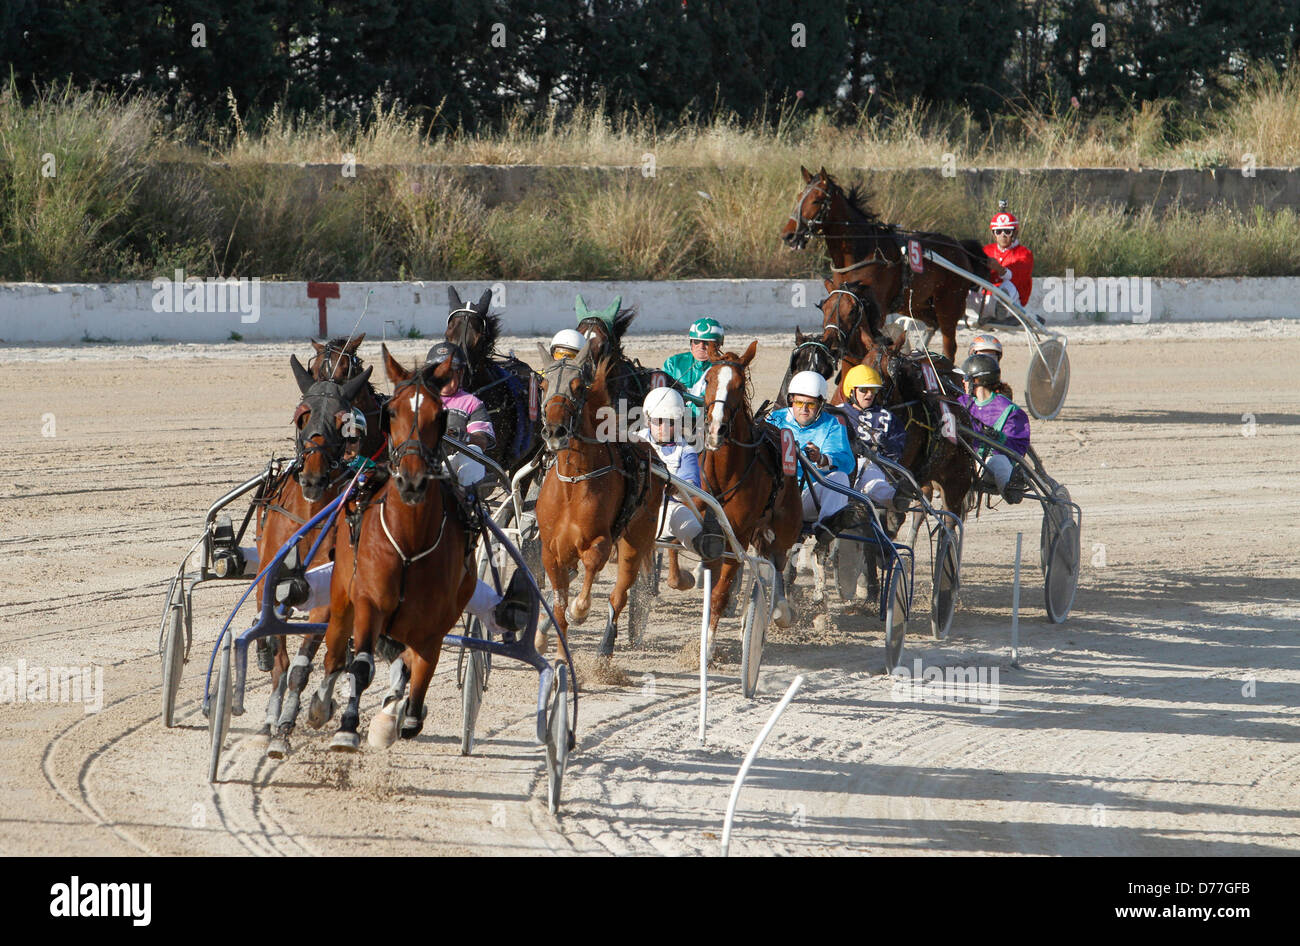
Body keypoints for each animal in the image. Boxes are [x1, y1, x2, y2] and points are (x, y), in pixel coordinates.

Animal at [256, 356, 373, 758]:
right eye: (302, 417)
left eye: (343, 423)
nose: (313, 478)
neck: (308, 517)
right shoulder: (270, 584)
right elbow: (279, 657)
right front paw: (270, 722)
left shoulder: (327, 592)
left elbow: (302, 665)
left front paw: (286, 726)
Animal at [307, 345, 477, 750]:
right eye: (393, 412)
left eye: (439, 415)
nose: (412, 480)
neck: (409, 542)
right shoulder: (369, 600)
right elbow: (361, 665)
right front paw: (348, 727)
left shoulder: (435, 622)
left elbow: (421, 666)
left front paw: (404, 715)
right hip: (342, 597)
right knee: (335, 653)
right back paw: (321, 702)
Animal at [534, 342, 664, 659]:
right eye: (543, 385)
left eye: (579, 387)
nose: (554, 431)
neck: (572, 484)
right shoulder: (551, 550)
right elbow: (557, 602)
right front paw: (557, 651)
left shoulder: (601, 540)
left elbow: (592, 564)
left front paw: (579, 610)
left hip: (635, 539)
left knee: (619, 595)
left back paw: (605, 646)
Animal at [699, 342, 803, 651]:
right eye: (708, 379)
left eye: (738, 384)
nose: (715, 428)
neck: (727, 472)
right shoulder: (710, 533)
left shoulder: (739, 533)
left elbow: (721, 590)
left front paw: (709, 645)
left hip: (785, 527)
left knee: (776, 564)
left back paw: (777, 610)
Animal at [780, 165, 997, 362]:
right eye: (799, 197)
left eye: (816, 200)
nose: (788, 235)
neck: (862, 252)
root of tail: (960, 248)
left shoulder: (876, 311)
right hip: (916, 303)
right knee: (931, 323)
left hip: (949, 302)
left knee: (948, 344)